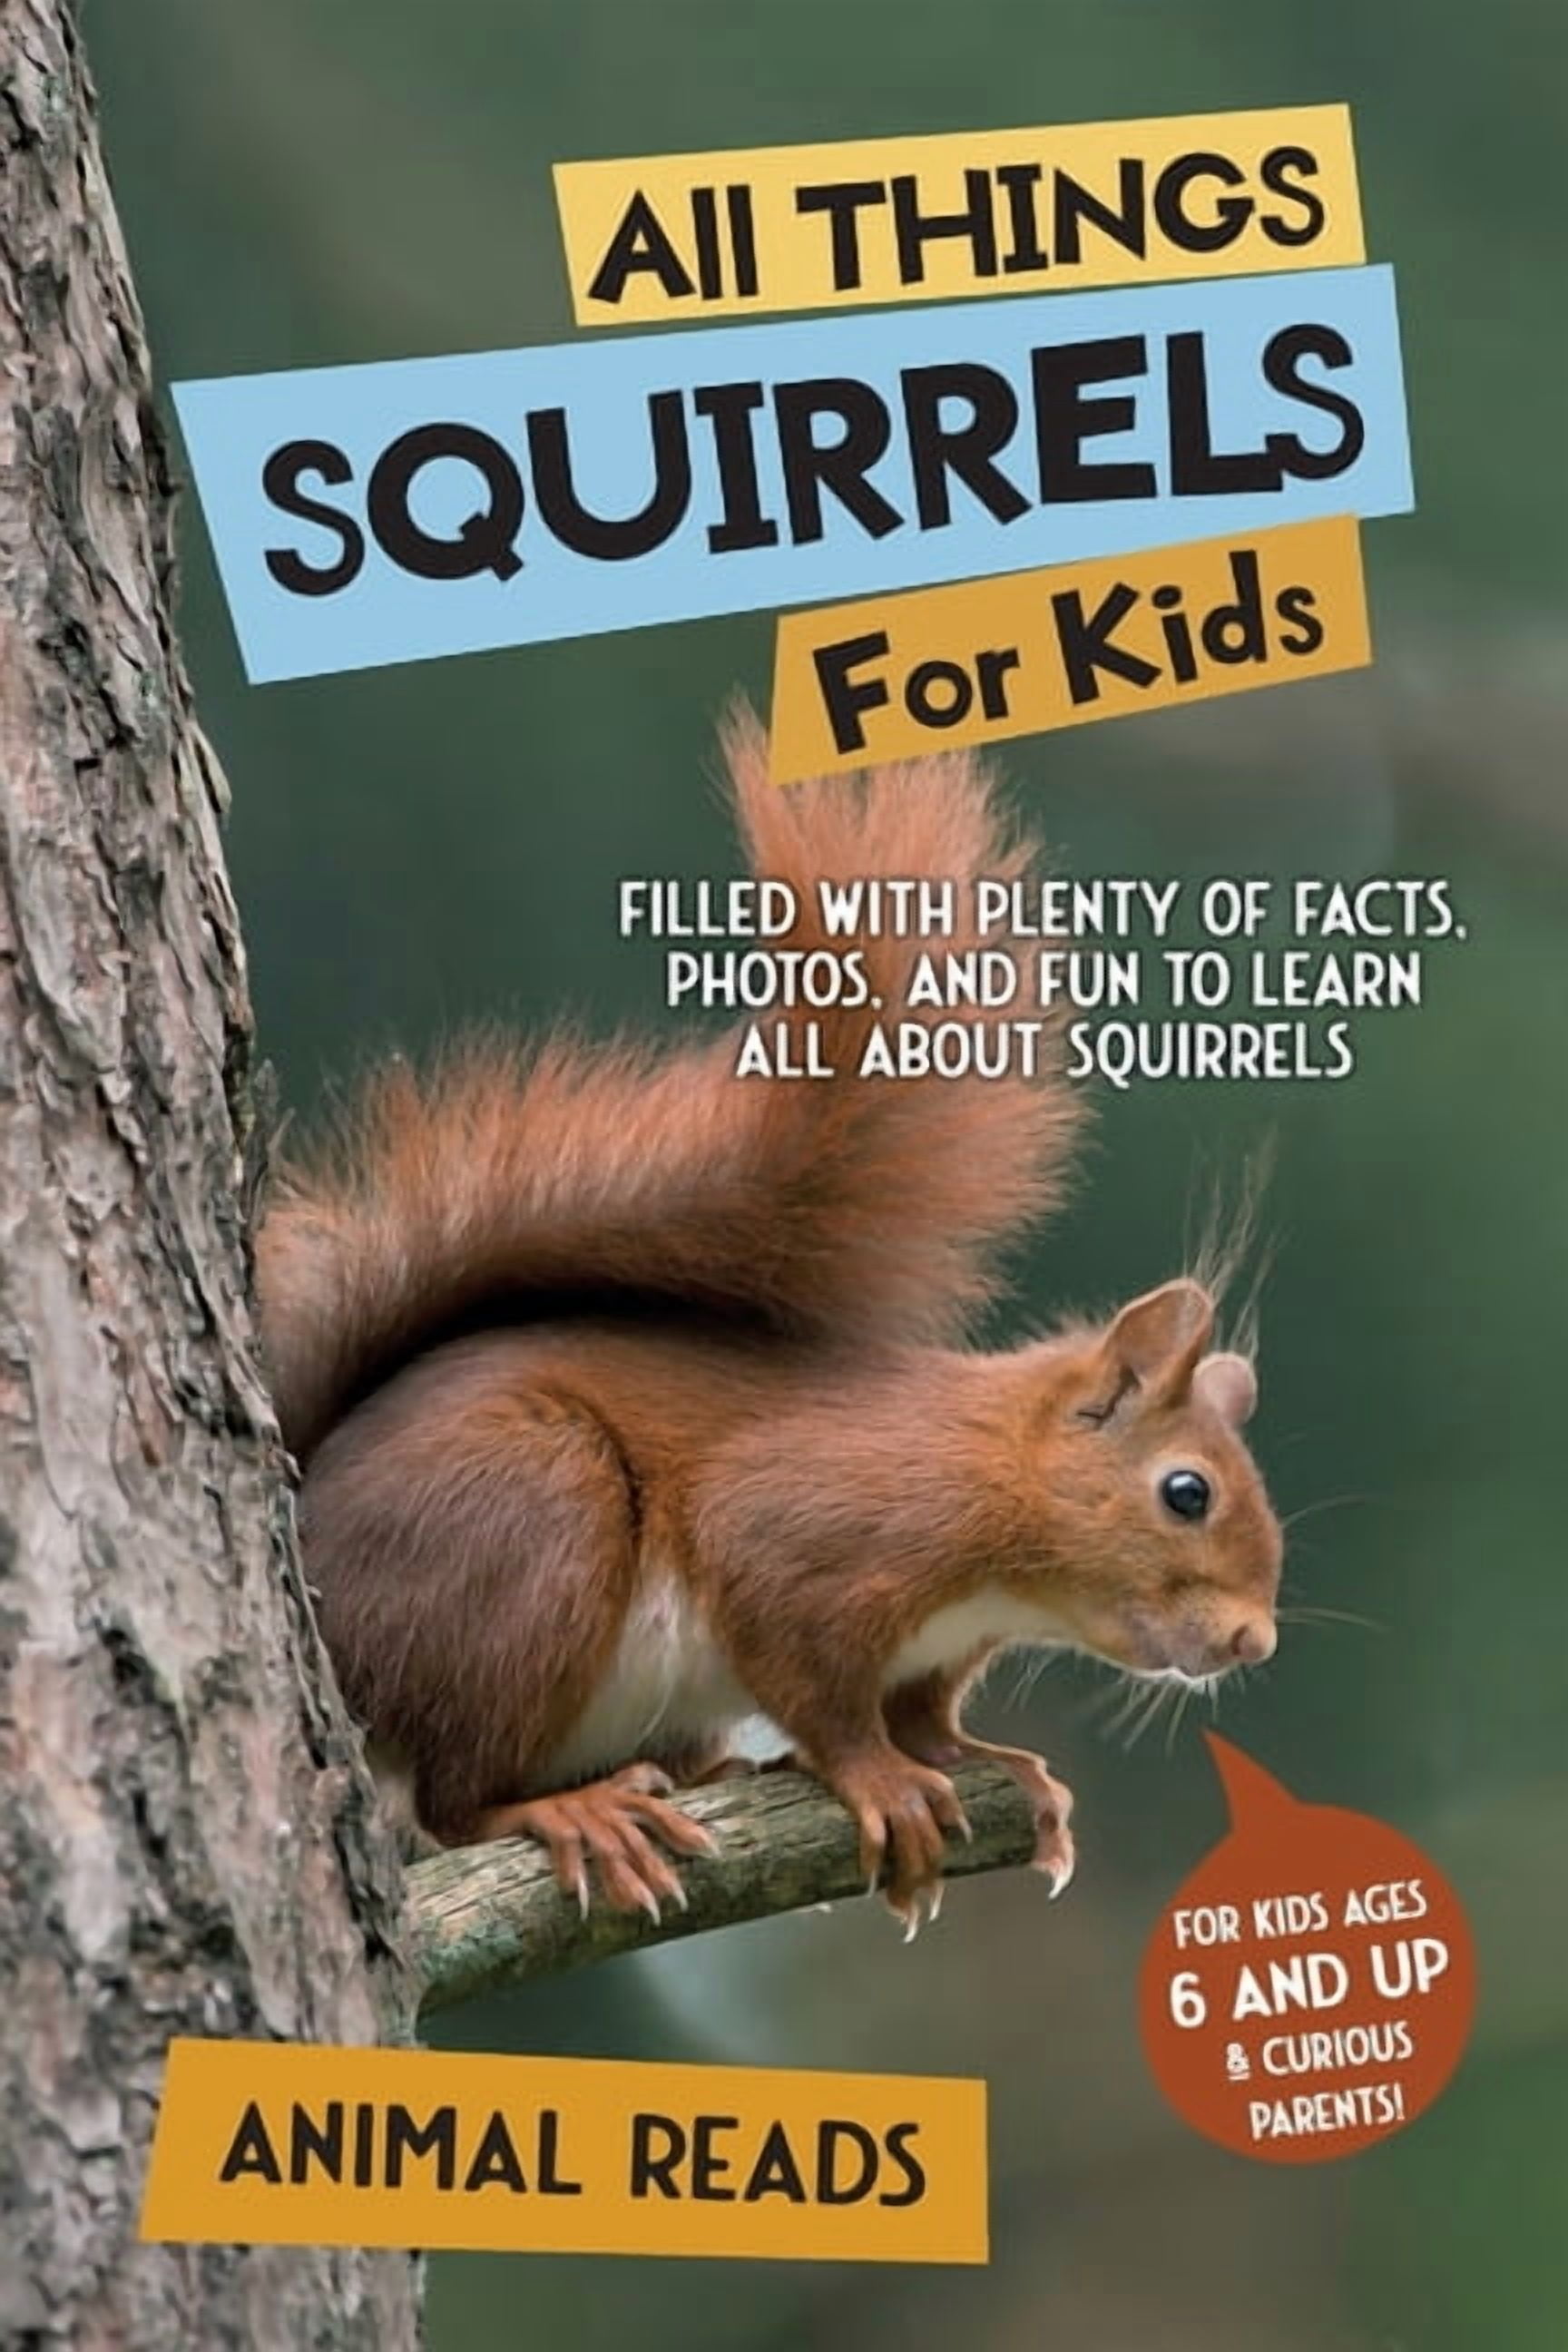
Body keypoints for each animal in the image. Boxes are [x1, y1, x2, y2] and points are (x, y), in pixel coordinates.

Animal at [256, 704, 1282, 1933]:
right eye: (1187, 1492)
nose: (1256, 1640)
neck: (996, 1498)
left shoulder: (938, 1649)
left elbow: (929, 1713)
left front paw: (998, 1767)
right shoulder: (815, 1537)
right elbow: (813, 1677)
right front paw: (880, 1778)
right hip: (526, 1528)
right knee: (456, 1799)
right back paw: (571, 1812)